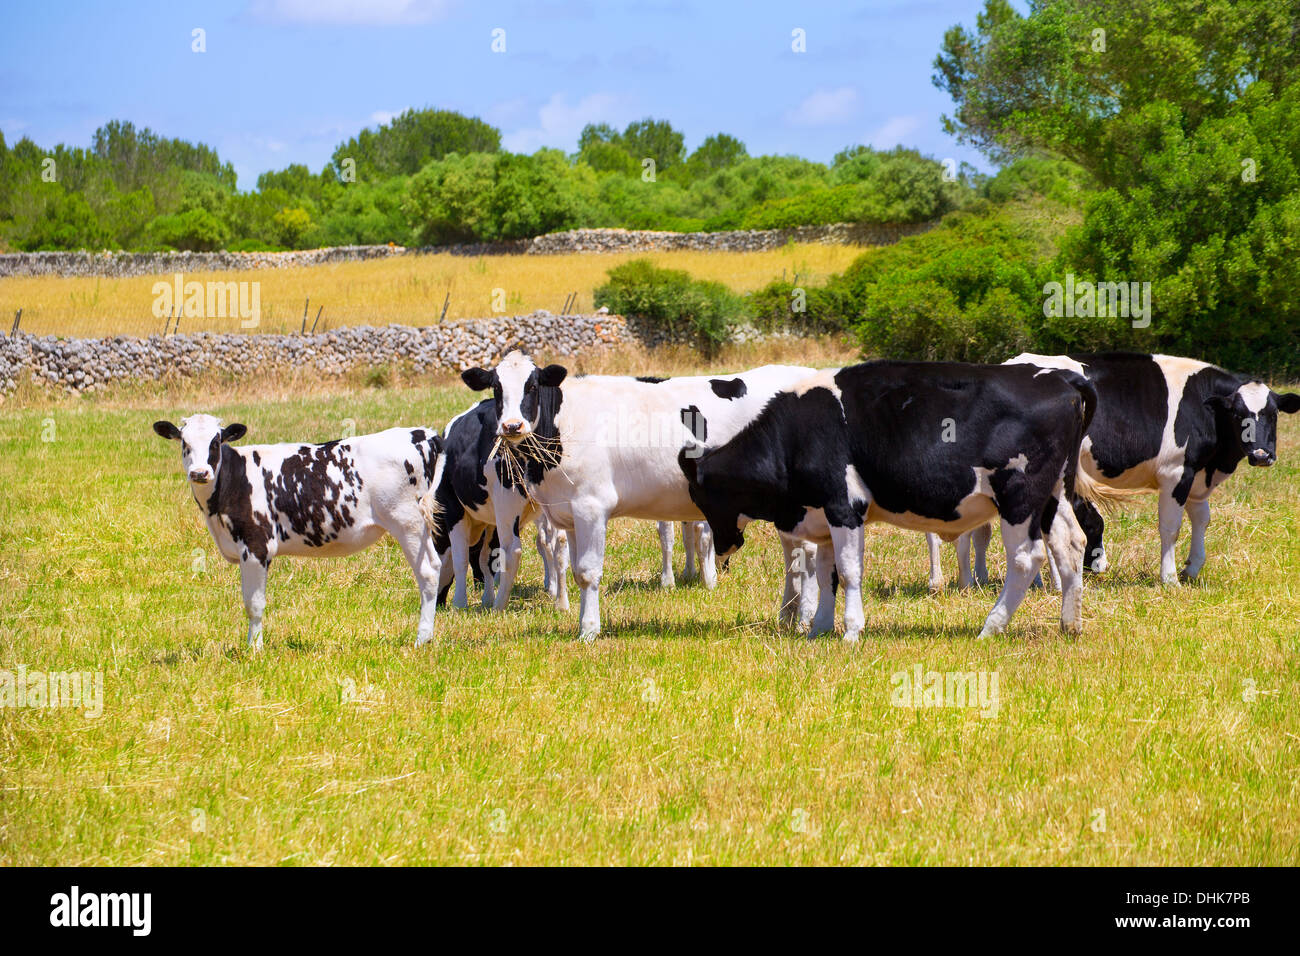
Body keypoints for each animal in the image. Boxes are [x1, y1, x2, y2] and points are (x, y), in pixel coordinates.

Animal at [153, 414, 445, 649]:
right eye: (184, 443)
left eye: (215, 442)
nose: (199, 473)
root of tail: (422, 433)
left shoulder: (256, 545)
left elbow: (254, 604)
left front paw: (254, 650)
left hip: (405, 520)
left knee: (427, 572)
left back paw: (421, 639)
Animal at [457, 352, 820, 640]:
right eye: (497, 388)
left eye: (531, 387)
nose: (512, 426)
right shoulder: (569, 514)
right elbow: (575, 572)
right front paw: (582, 623)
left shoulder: (591, 507)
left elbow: (588, 571)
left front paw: (589, 631)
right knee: (792, 554)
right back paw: (787, 615)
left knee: (808, 554)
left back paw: (803, 619)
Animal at [683, 361, 1104, 640]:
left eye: (704, 496)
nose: (723, 547)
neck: (798, 433)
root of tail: (1060, 377)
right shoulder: (823, 517)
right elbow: (825, 572)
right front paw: (819, 630)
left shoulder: (845, 507)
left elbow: (849, 571)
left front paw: (851, 632)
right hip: (1053, 496)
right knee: (1070, 544)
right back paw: (1069, 624)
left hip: (1019, 496)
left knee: (1026, 558)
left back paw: (991, 626)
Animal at [932, 352, 1300, 587]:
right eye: (1239, 414)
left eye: (1272, 414)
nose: (1262, 454)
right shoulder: (1174, 474)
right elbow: (1170, 528)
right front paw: (1169, 579)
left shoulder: (1196, 474)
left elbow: (1202, 519)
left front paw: (1193, 568)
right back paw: (970, 581)